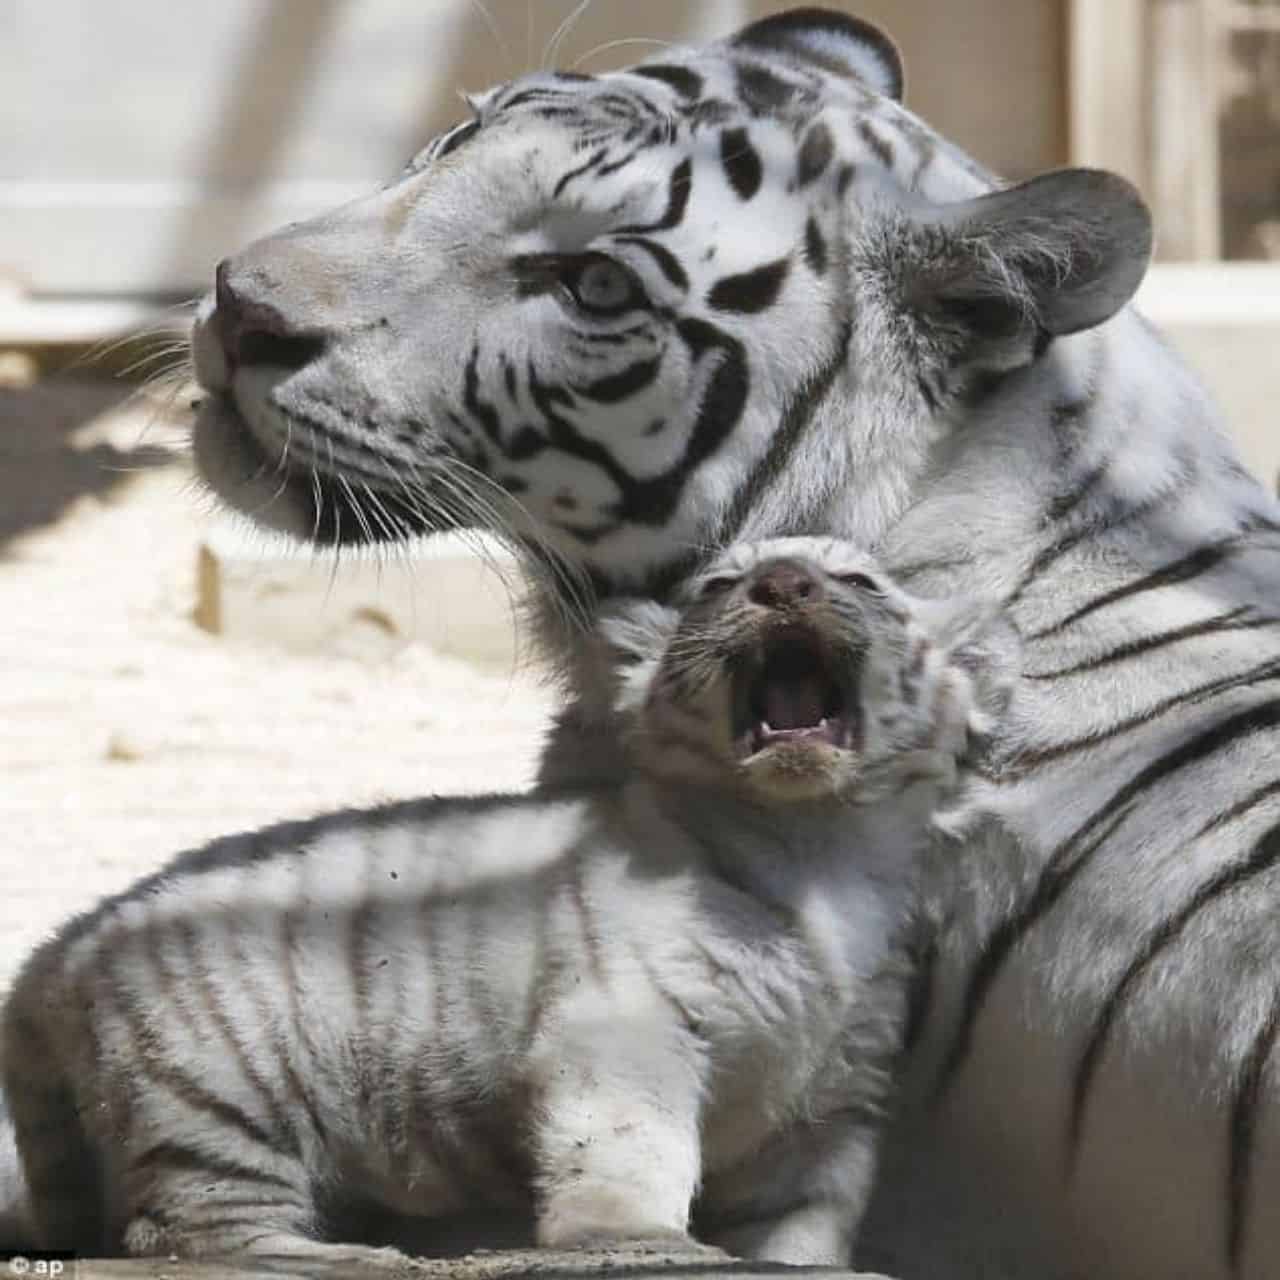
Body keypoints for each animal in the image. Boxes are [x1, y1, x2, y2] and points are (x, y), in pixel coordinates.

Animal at [0, 537, 1009, 1268]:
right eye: (721, 583)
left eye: (858, 580)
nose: (785, 584)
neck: (815, 845)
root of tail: (56, 951)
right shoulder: (624, 1024)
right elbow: (630, 1144)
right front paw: (633, 1239)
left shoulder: (835, 1090)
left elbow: (806, 1215)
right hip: (216, 1085)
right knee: (187, 1231)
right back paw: (351, 1257)